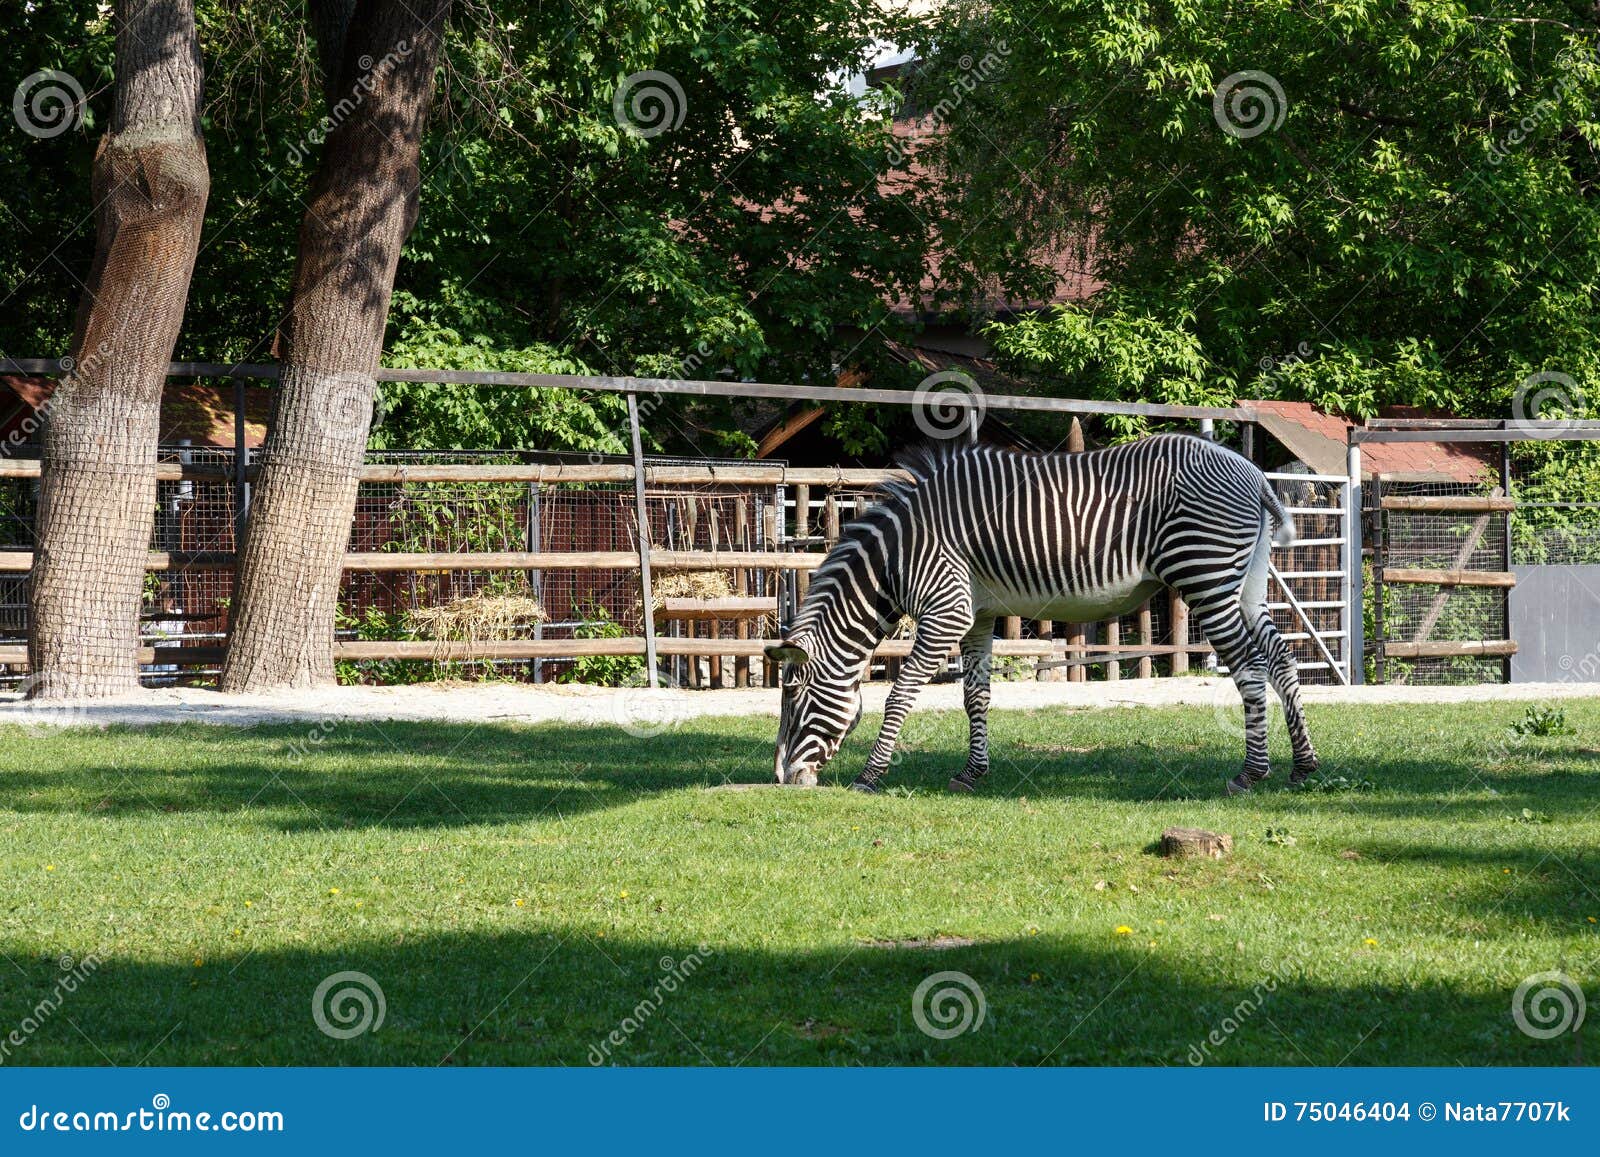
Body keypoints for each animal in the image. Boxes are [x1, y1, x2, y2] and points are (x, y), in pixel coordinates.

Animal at [765, 434, 1319, 795]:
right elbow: (975, 695)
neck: (899, 555)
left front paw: (870, 776)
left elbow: (901, 694)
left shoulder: (947, 610)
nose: (784, 781)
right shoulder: (978, 614)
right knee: (1280, 658)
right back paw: (1303, 766)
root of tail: (1252, 473)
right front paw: (972, 773)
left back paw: (1250, 773)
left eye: (794, 698)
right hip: (1244, 582)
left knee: (1249, 666)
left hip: (1205, 576)